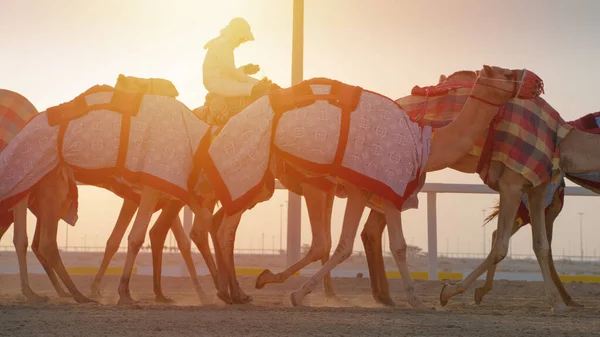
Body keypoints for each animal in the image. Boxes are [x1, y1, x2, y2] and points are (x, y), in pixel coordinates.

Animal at [196, 64, 540, 308]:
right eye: (507, 73)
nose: (537, 82)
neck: (426, 144)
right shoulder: (373, 187)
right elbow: (365, 245)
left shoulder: (375, 190)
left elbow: (368, 245)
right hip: (254, 171)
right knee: (221, 228)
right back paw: (232, 293)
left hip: (260, 179)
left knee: (220, 225)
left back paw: (233, 292)